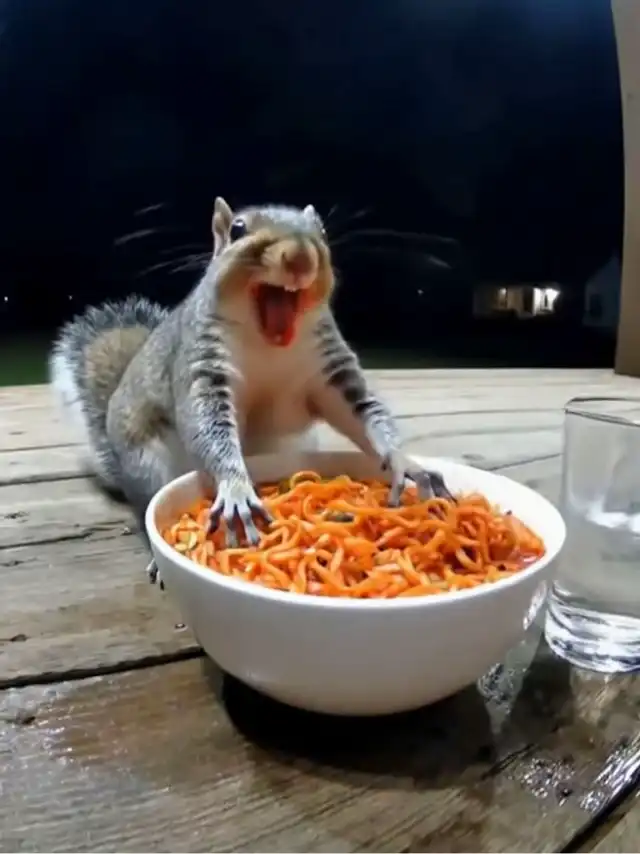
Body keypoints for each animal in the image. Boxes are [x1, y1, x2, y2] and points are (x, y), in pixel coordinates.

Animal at [50, 197, 451, 583]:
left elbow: (364, 414)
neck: (268, 344)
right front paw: (236, 489)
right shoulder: (202, 369)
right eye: (238, 230)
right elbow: (208, 428)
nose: (300, 257)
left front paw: (405, 462)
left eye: (321, 231)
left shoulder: (333, 373)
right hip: (148, 464)